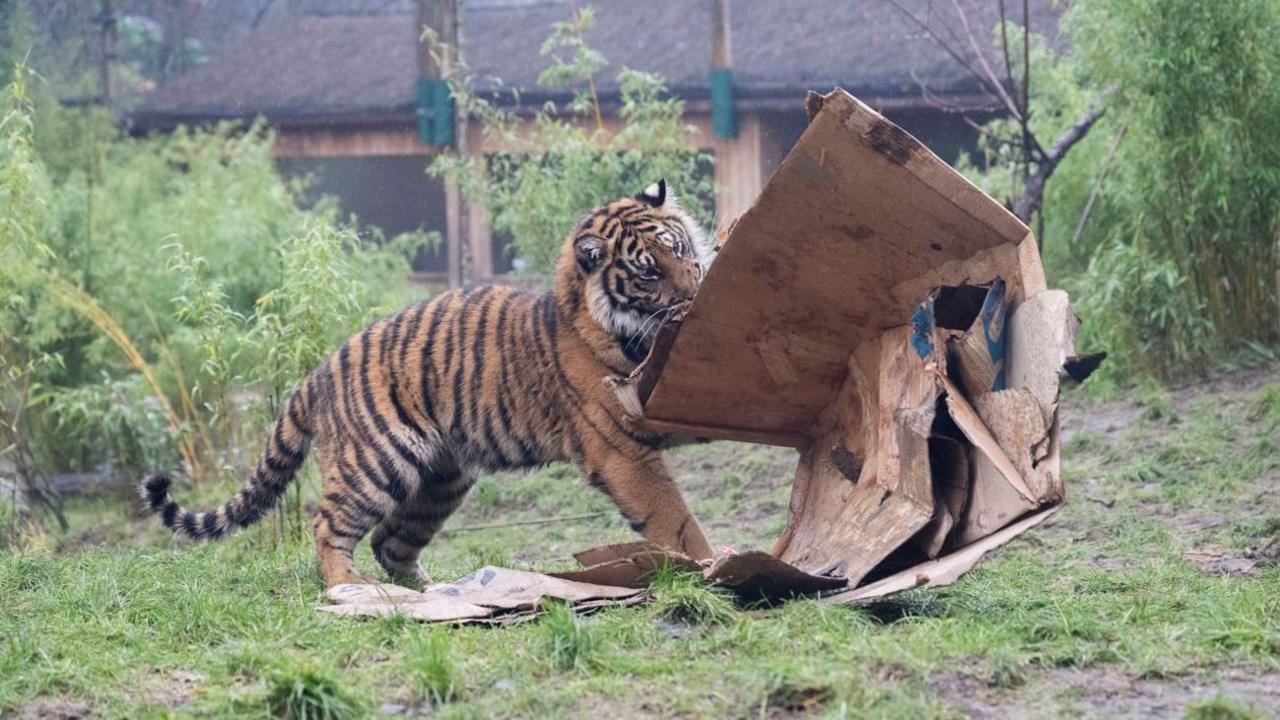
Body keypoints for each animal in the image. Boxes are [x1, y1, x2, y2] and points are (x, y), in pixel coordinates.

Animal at [142, 180, 716, 588]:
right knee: (329, 527)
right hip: (375, 464)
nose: (695, 293)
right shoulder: (622, 449)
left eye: (680, 247)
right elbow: (676, 521)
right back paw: (350, 587)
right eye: (647, 272)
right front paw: (710, 570)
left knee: (390, 541)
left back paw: (435, 591)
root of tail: (320, 371)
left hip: (443, 480)